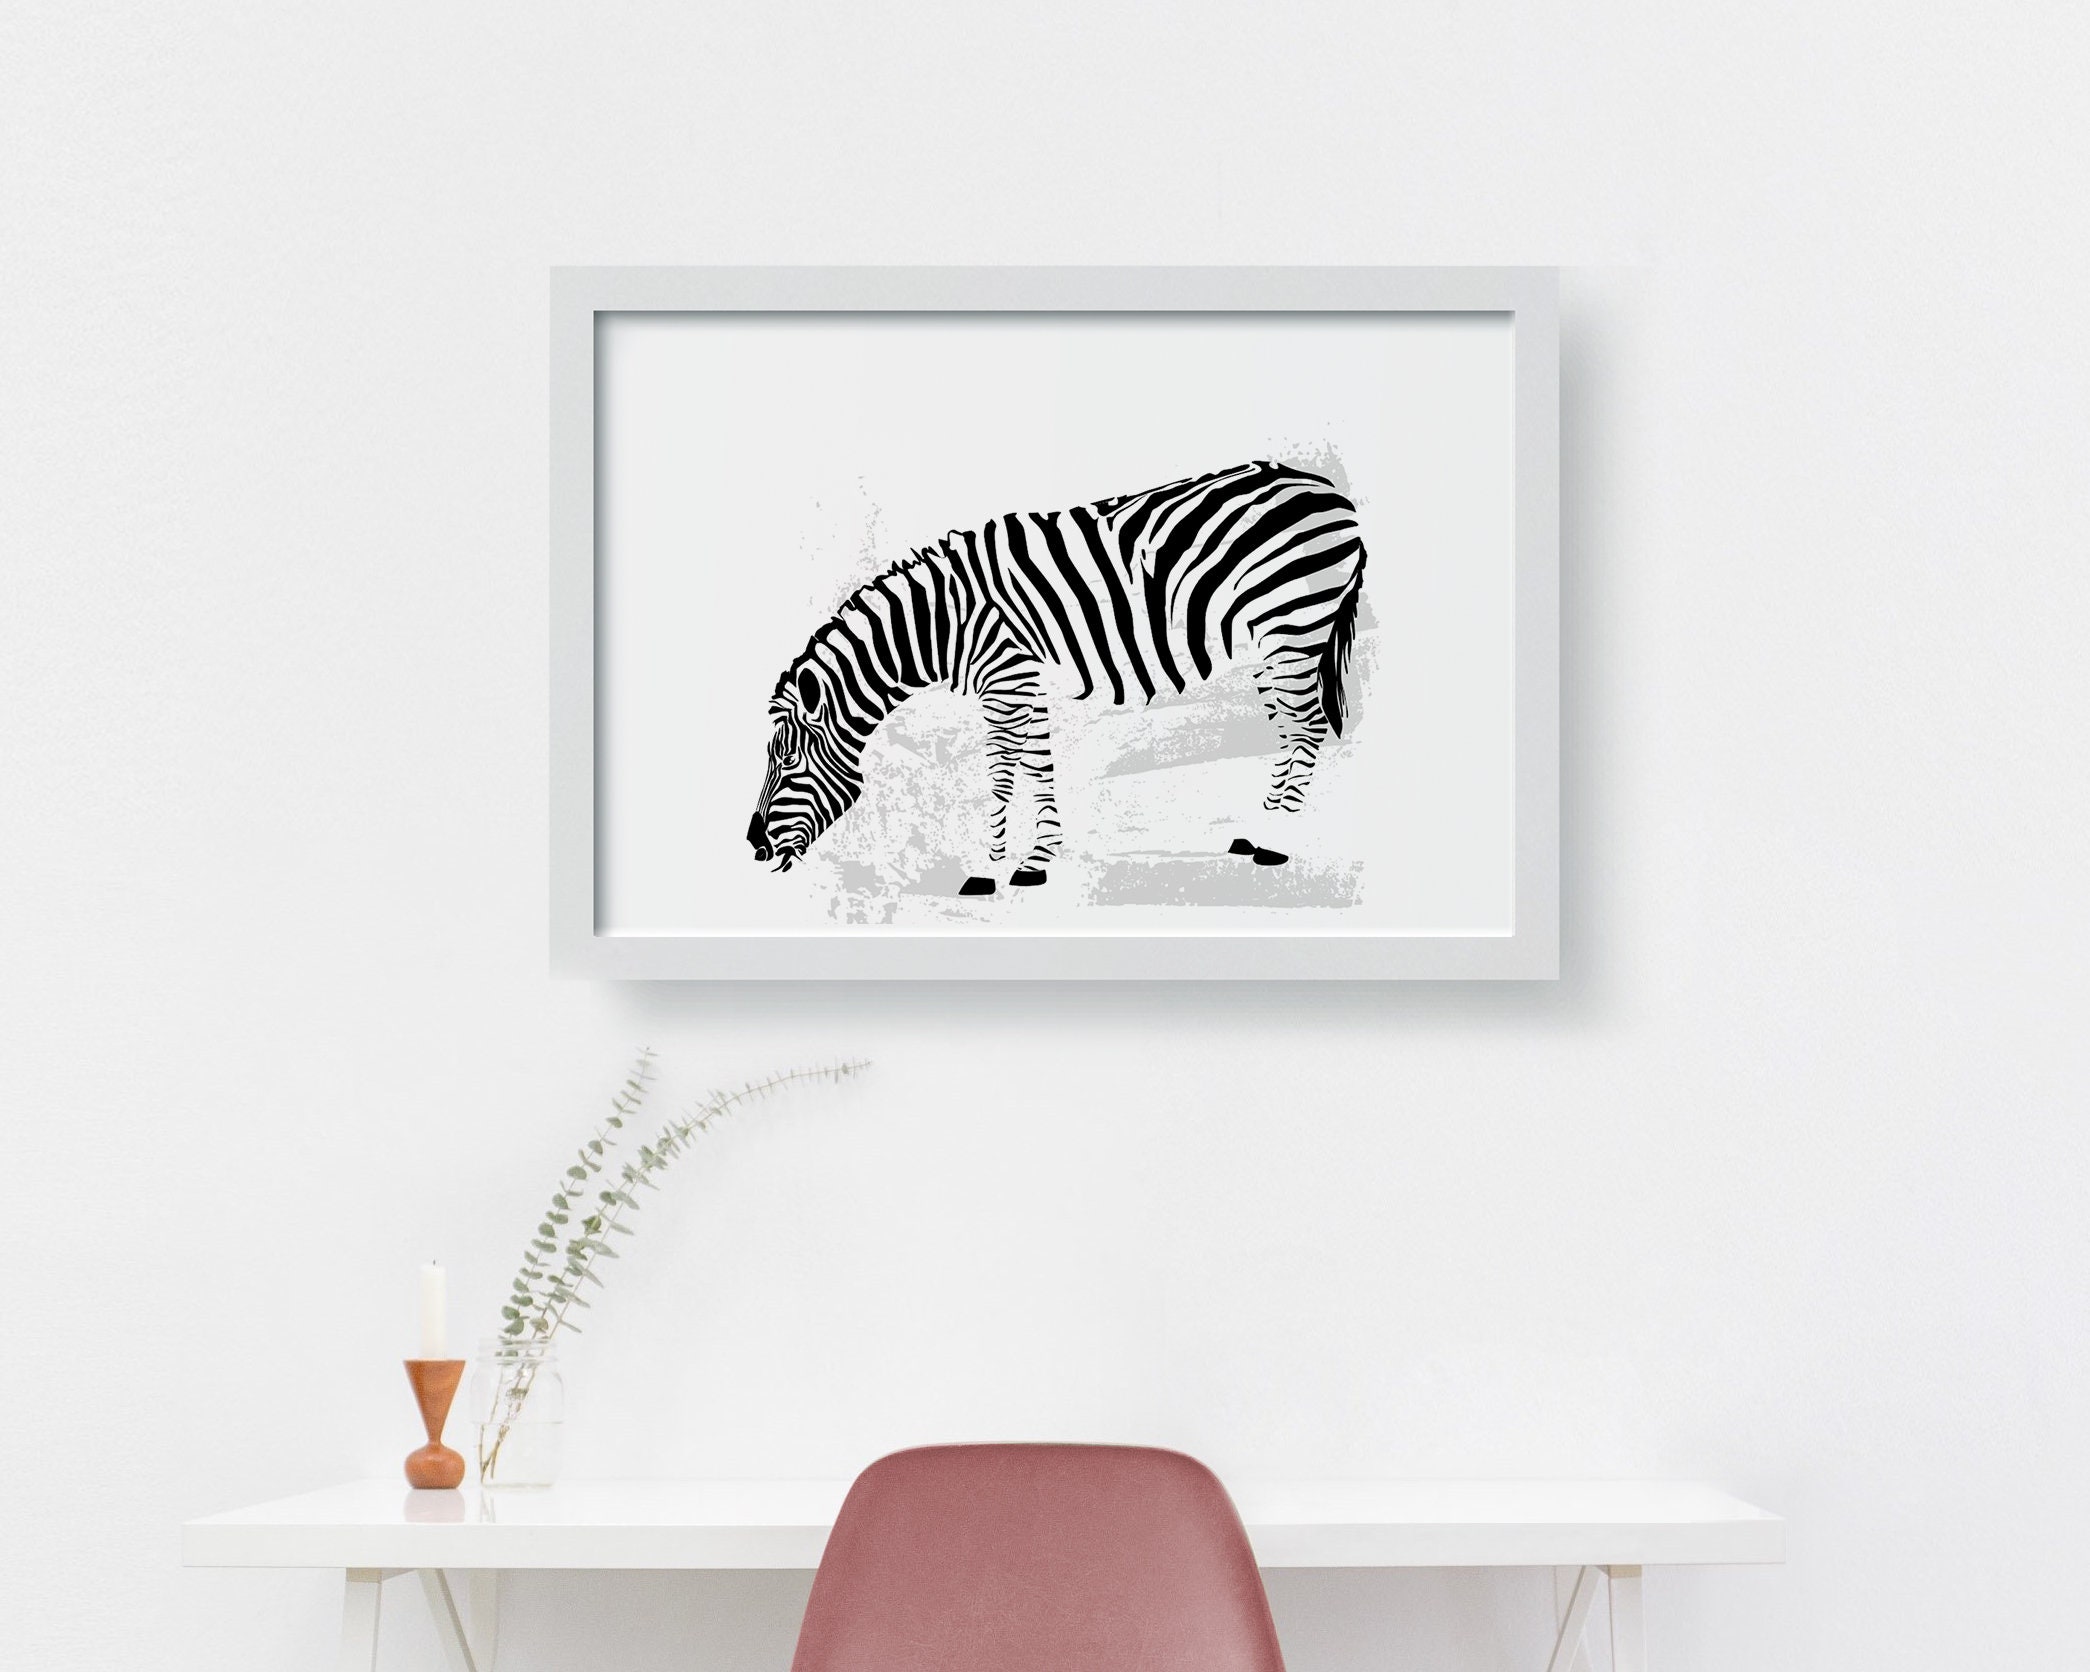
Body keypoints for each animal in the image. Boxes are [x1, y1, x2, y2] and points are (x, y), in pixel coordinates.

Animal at [746, 459, 1367, 895]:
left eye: (789, 762)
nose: (752, 844)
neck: (942, 622)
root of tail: (1332, 490)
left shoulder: (1004, 679)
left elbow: (1002, 774)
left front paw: (986, 870)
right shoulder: (1024, 680)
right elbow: (1038, 766)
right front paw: (1037, 860)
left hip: (1295, 625)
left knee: (1308, 726)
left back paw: (1277, 841)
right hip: (1270, 644)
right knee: (1288, 729)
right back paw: (1256, 830)